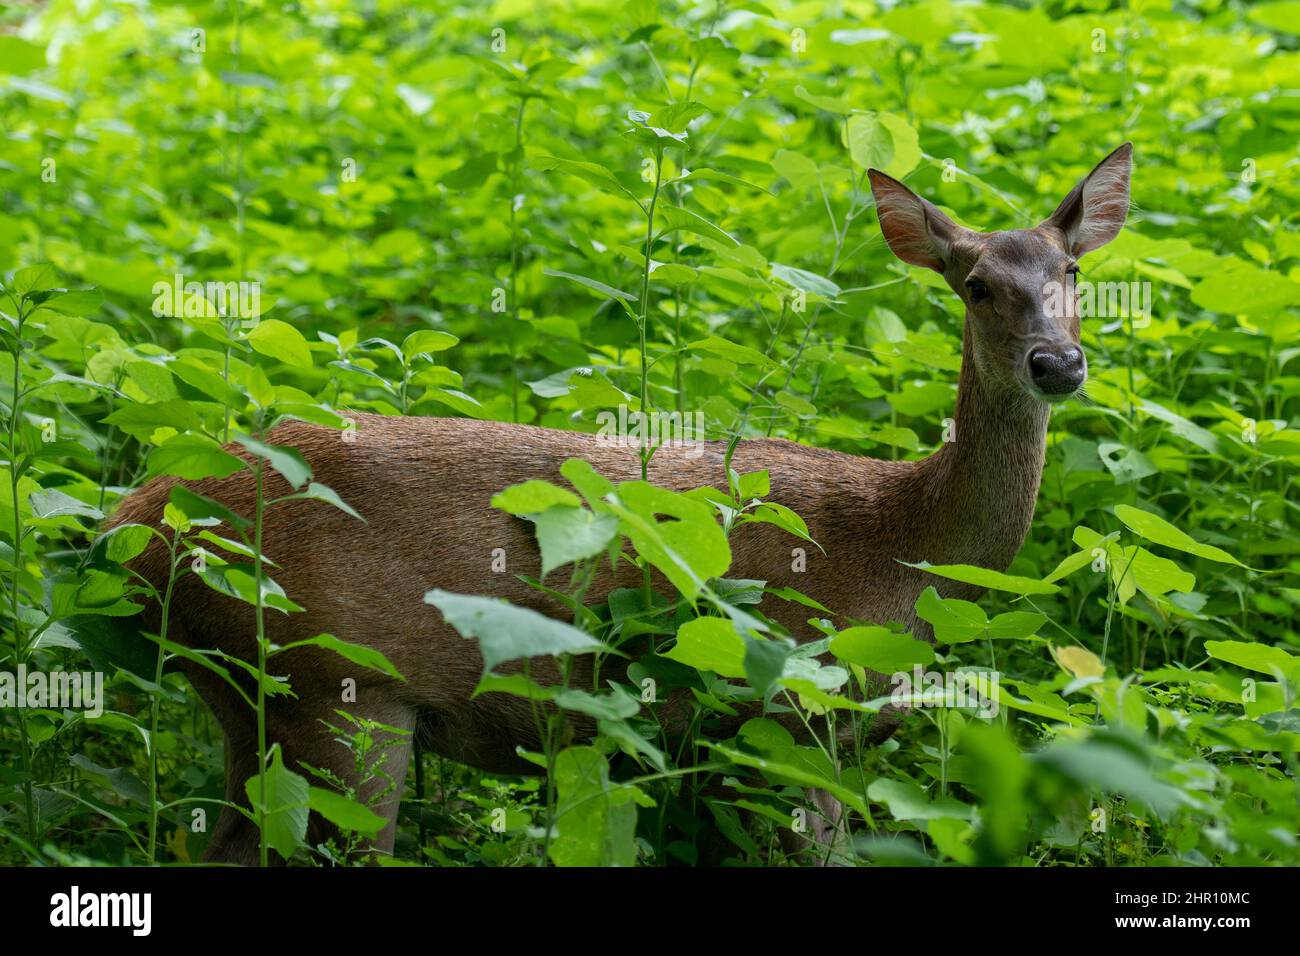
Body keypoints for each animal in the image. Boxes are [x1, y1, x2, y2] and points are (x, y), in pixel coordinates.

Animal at [107, 143, 1132, 865]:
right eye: (976, 285)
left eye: (1072, 274)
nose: (1058, 363)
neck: (900, 548)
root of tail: (134, 525)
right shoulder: (789, 709)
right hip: (337, 685)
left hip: (257, 696)